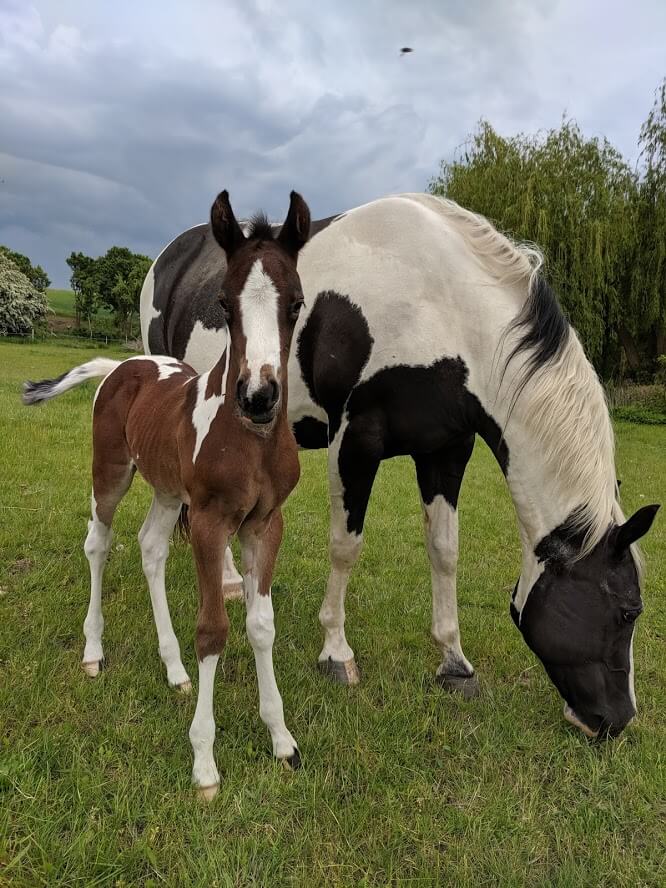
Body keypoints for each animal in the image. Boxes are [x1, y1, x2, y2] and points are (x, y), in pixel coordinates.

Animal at [23, 189, 311, 798]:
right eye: (223, 303)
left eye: (295, 304)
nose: (258, 397)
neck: (248, 439)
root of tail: (123, 365)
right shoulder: (208, 521)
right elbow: (213, 629)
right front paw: (204, 762)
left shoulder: (264, 523)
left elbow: (260, 626)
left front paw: (281, 740)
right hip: (112, 473)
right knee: (99, 542)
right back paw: (93, 651)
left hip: (166, 491)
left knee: (150, 547)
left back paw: (173, 667)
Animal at [141, 193, 660, 739]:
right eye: (629, 611)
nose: (616, 720)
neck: (441, 307)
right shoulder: (354, 441)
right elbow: (345, 546)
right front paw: (336, 653)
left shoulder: (447, 451)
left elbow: (445, 550)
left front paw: (454, 662)